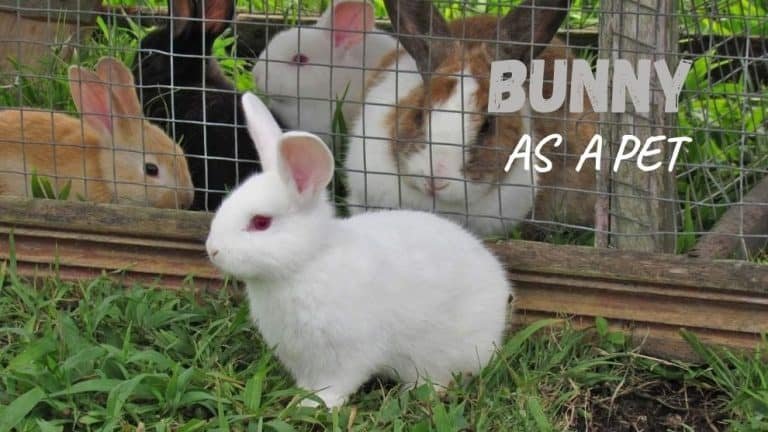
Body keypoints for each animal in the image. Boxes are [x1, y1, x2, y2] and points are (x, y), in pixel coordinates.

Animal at [205, 92, 512, 408]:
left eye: (261, 222)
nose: (212, 250)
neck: (307, 263)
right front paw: (302, 396)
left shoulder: (345, 354)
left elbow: (337, 383)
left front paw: (315, 405)